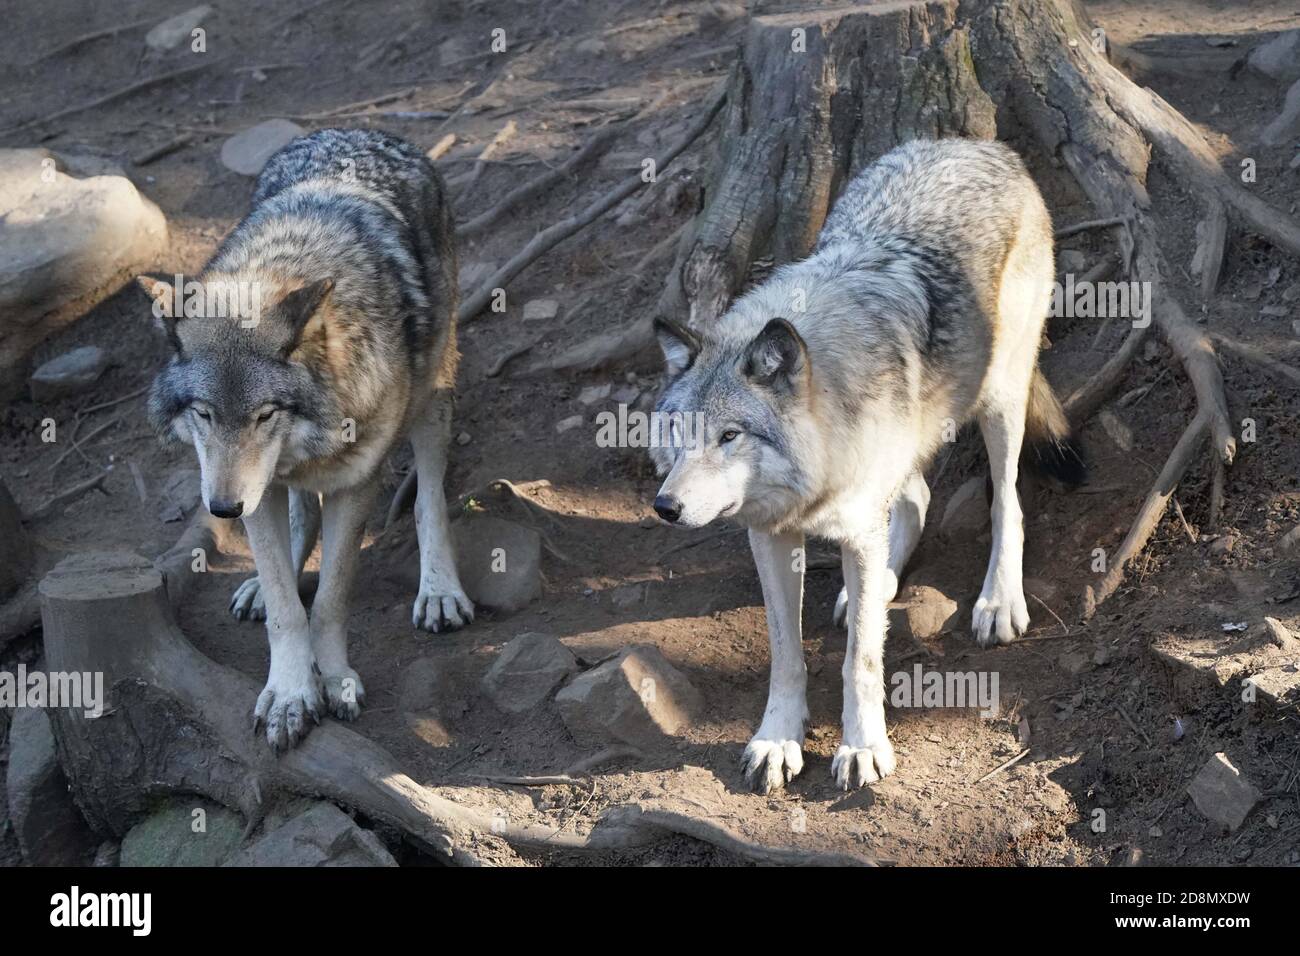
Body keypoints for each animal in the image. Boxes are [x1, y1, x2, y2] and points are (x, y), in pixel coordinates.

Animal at [140, 128, 474, 751]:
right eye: (203, 414)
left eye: (265, 414)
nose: (221, 509)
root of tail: (363, 131)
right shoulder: (257, 488)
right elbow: (285, 608)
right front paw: (292, 692)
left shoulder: (355, 483)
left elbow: (331, 599)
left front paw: (334, 678)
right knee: (300, 517)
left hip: (434, 390)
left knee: (429, 497)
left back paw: (439, 589)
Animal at [650, 139, 1083, 792]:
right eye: (679, 432)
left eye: (729, 436)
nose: (665, 507)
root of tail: (979, 145)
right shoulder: (770, 536)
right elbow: (785, 652)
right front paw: (778, 739)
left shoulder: (848, 530)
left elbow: (861, 660)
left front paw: (862, 747)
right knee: (916, 500)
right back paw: (879, 588)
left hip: (1000, 397)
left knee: (1007, 501)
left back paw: (998, 600)